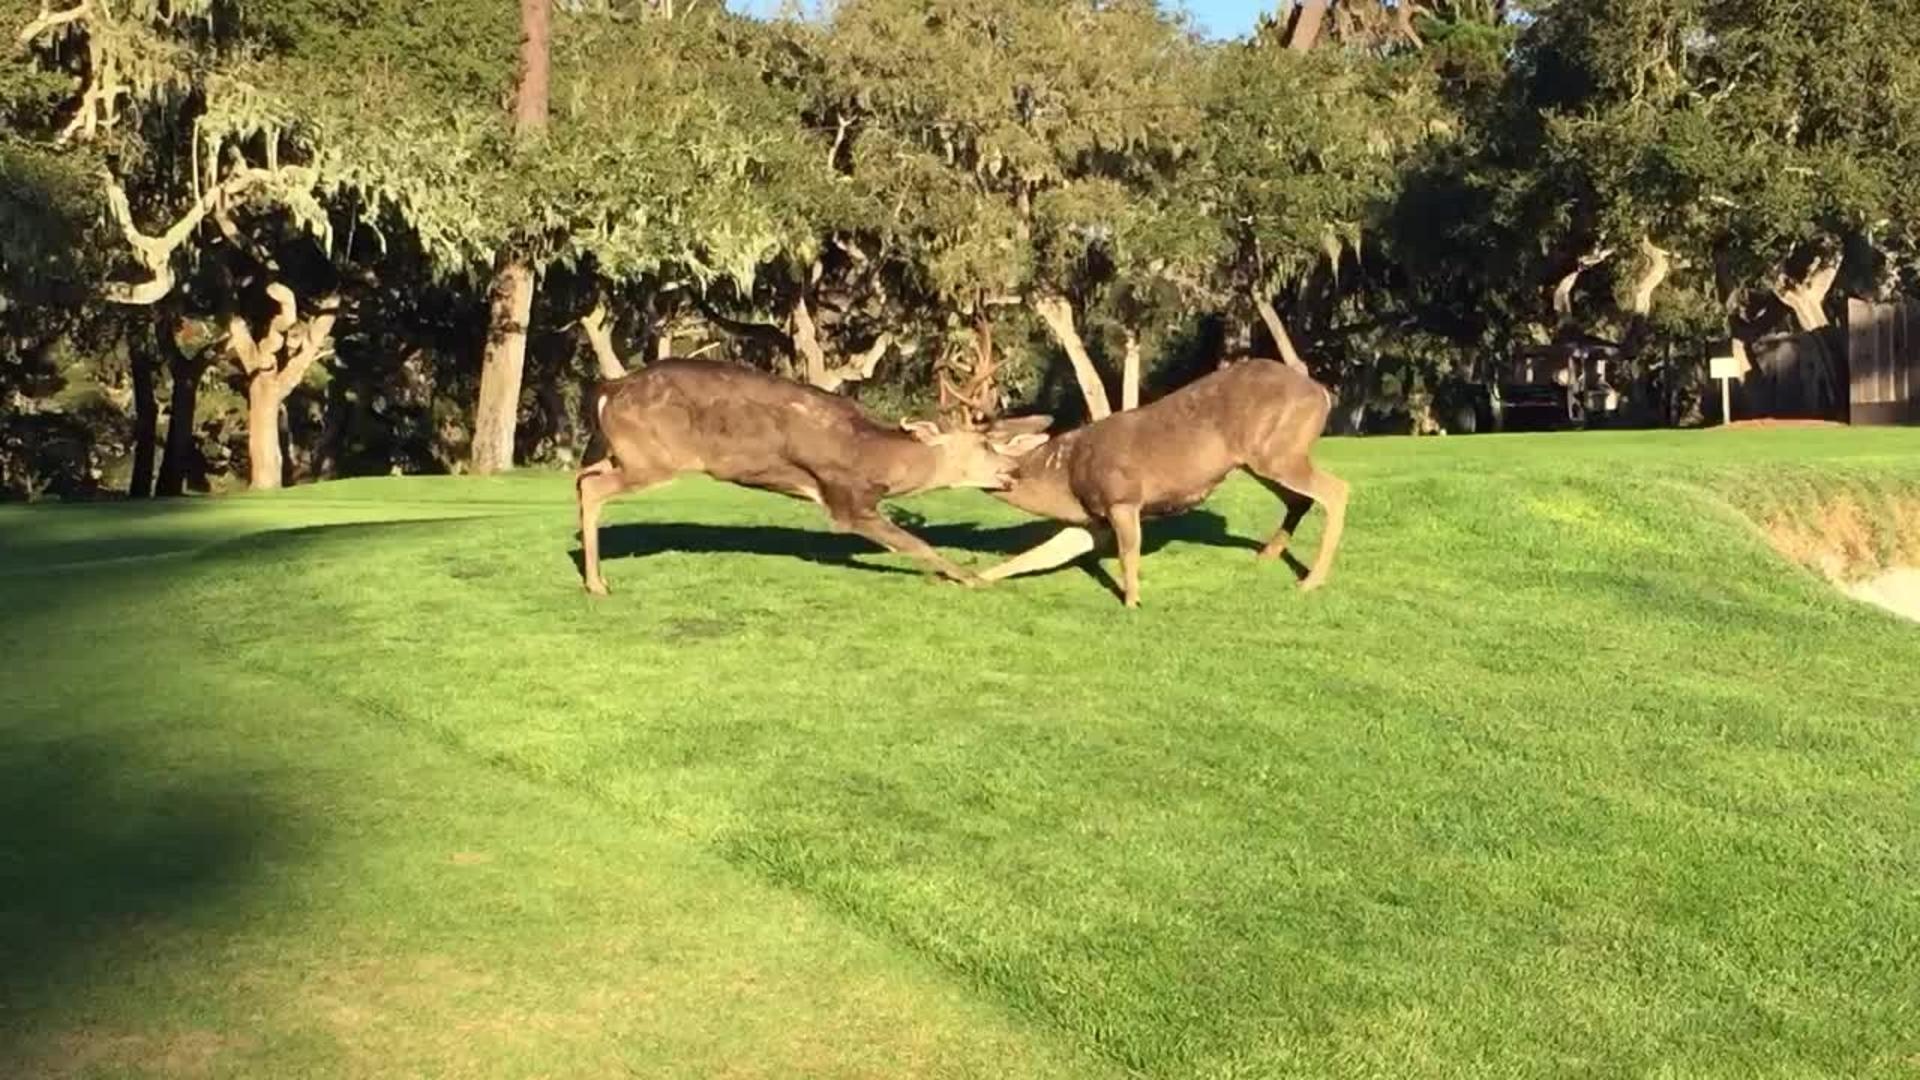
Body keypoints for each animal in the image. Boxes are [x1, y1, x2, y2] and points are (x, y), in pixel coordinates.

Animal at [573, 357, 1053, 596]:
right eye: (984, 445)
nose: (1013, 472)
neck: (878, 460)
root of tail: (611, 388)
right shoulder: (846, 500)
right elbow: (917, 543)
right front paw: (972, 578)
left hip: (626, 452)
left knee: (582, 476)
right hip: (656, 457)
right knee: (593, 486)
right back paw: (598, 583)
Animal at [968, 355, 1348, 608]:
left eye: (978, 445)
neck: (1067, 472)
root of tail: (1321, 392)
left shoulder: (1121, 499)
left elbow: (1128, 551)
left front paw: (1132, 601)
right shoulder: (1093, 519)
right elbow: (1039, 555)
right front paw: (973, 578)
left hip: (1278, 453)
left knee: (1337, 490)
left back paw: (1311, 580)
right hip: (1260, 460)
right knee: (1301, 499)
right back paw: (1269, 555)